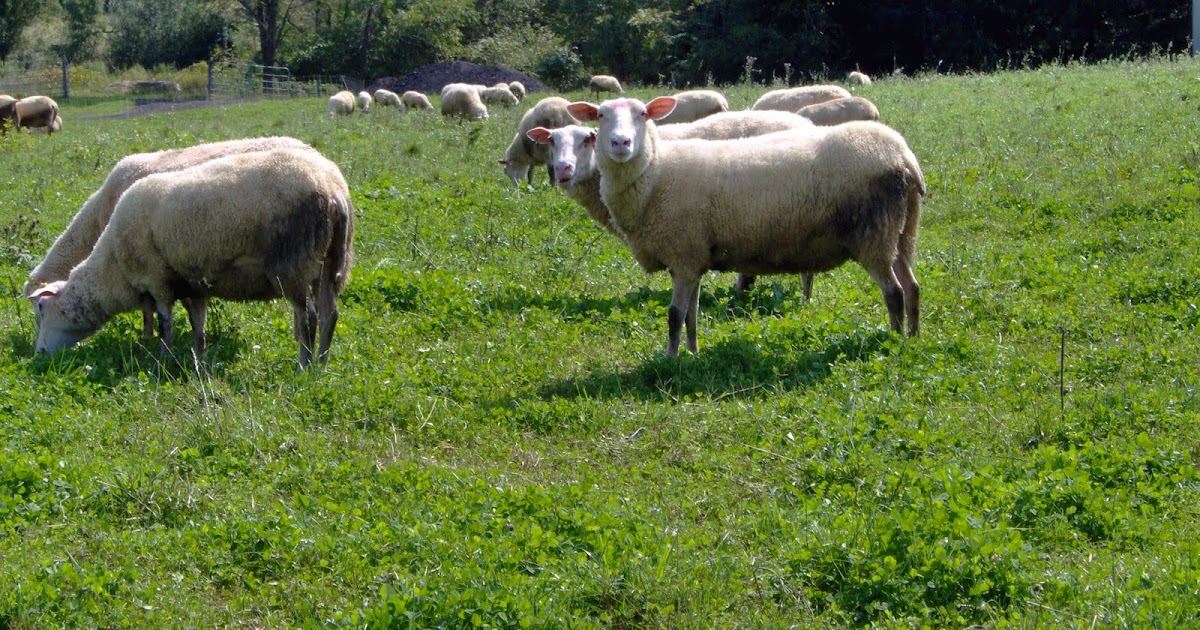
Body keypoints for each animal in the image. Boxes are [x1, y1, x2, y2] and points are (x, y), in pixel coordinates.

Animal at [568, 96, 924, 356]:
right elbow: (692, 314)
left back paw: (893, 342)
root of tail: (904, 156)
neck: (655, 174)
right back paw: (914, 337)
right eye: (600, 115)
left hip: (875, 234)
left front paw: (669, 360)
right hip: (902, 231)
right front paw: (693, 353)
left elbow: (674, 316)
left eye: (643, 114)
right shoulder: (691, 258)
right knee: (912, 287)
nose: (621, 143)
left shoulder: (683, 255)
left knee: (893, 292)